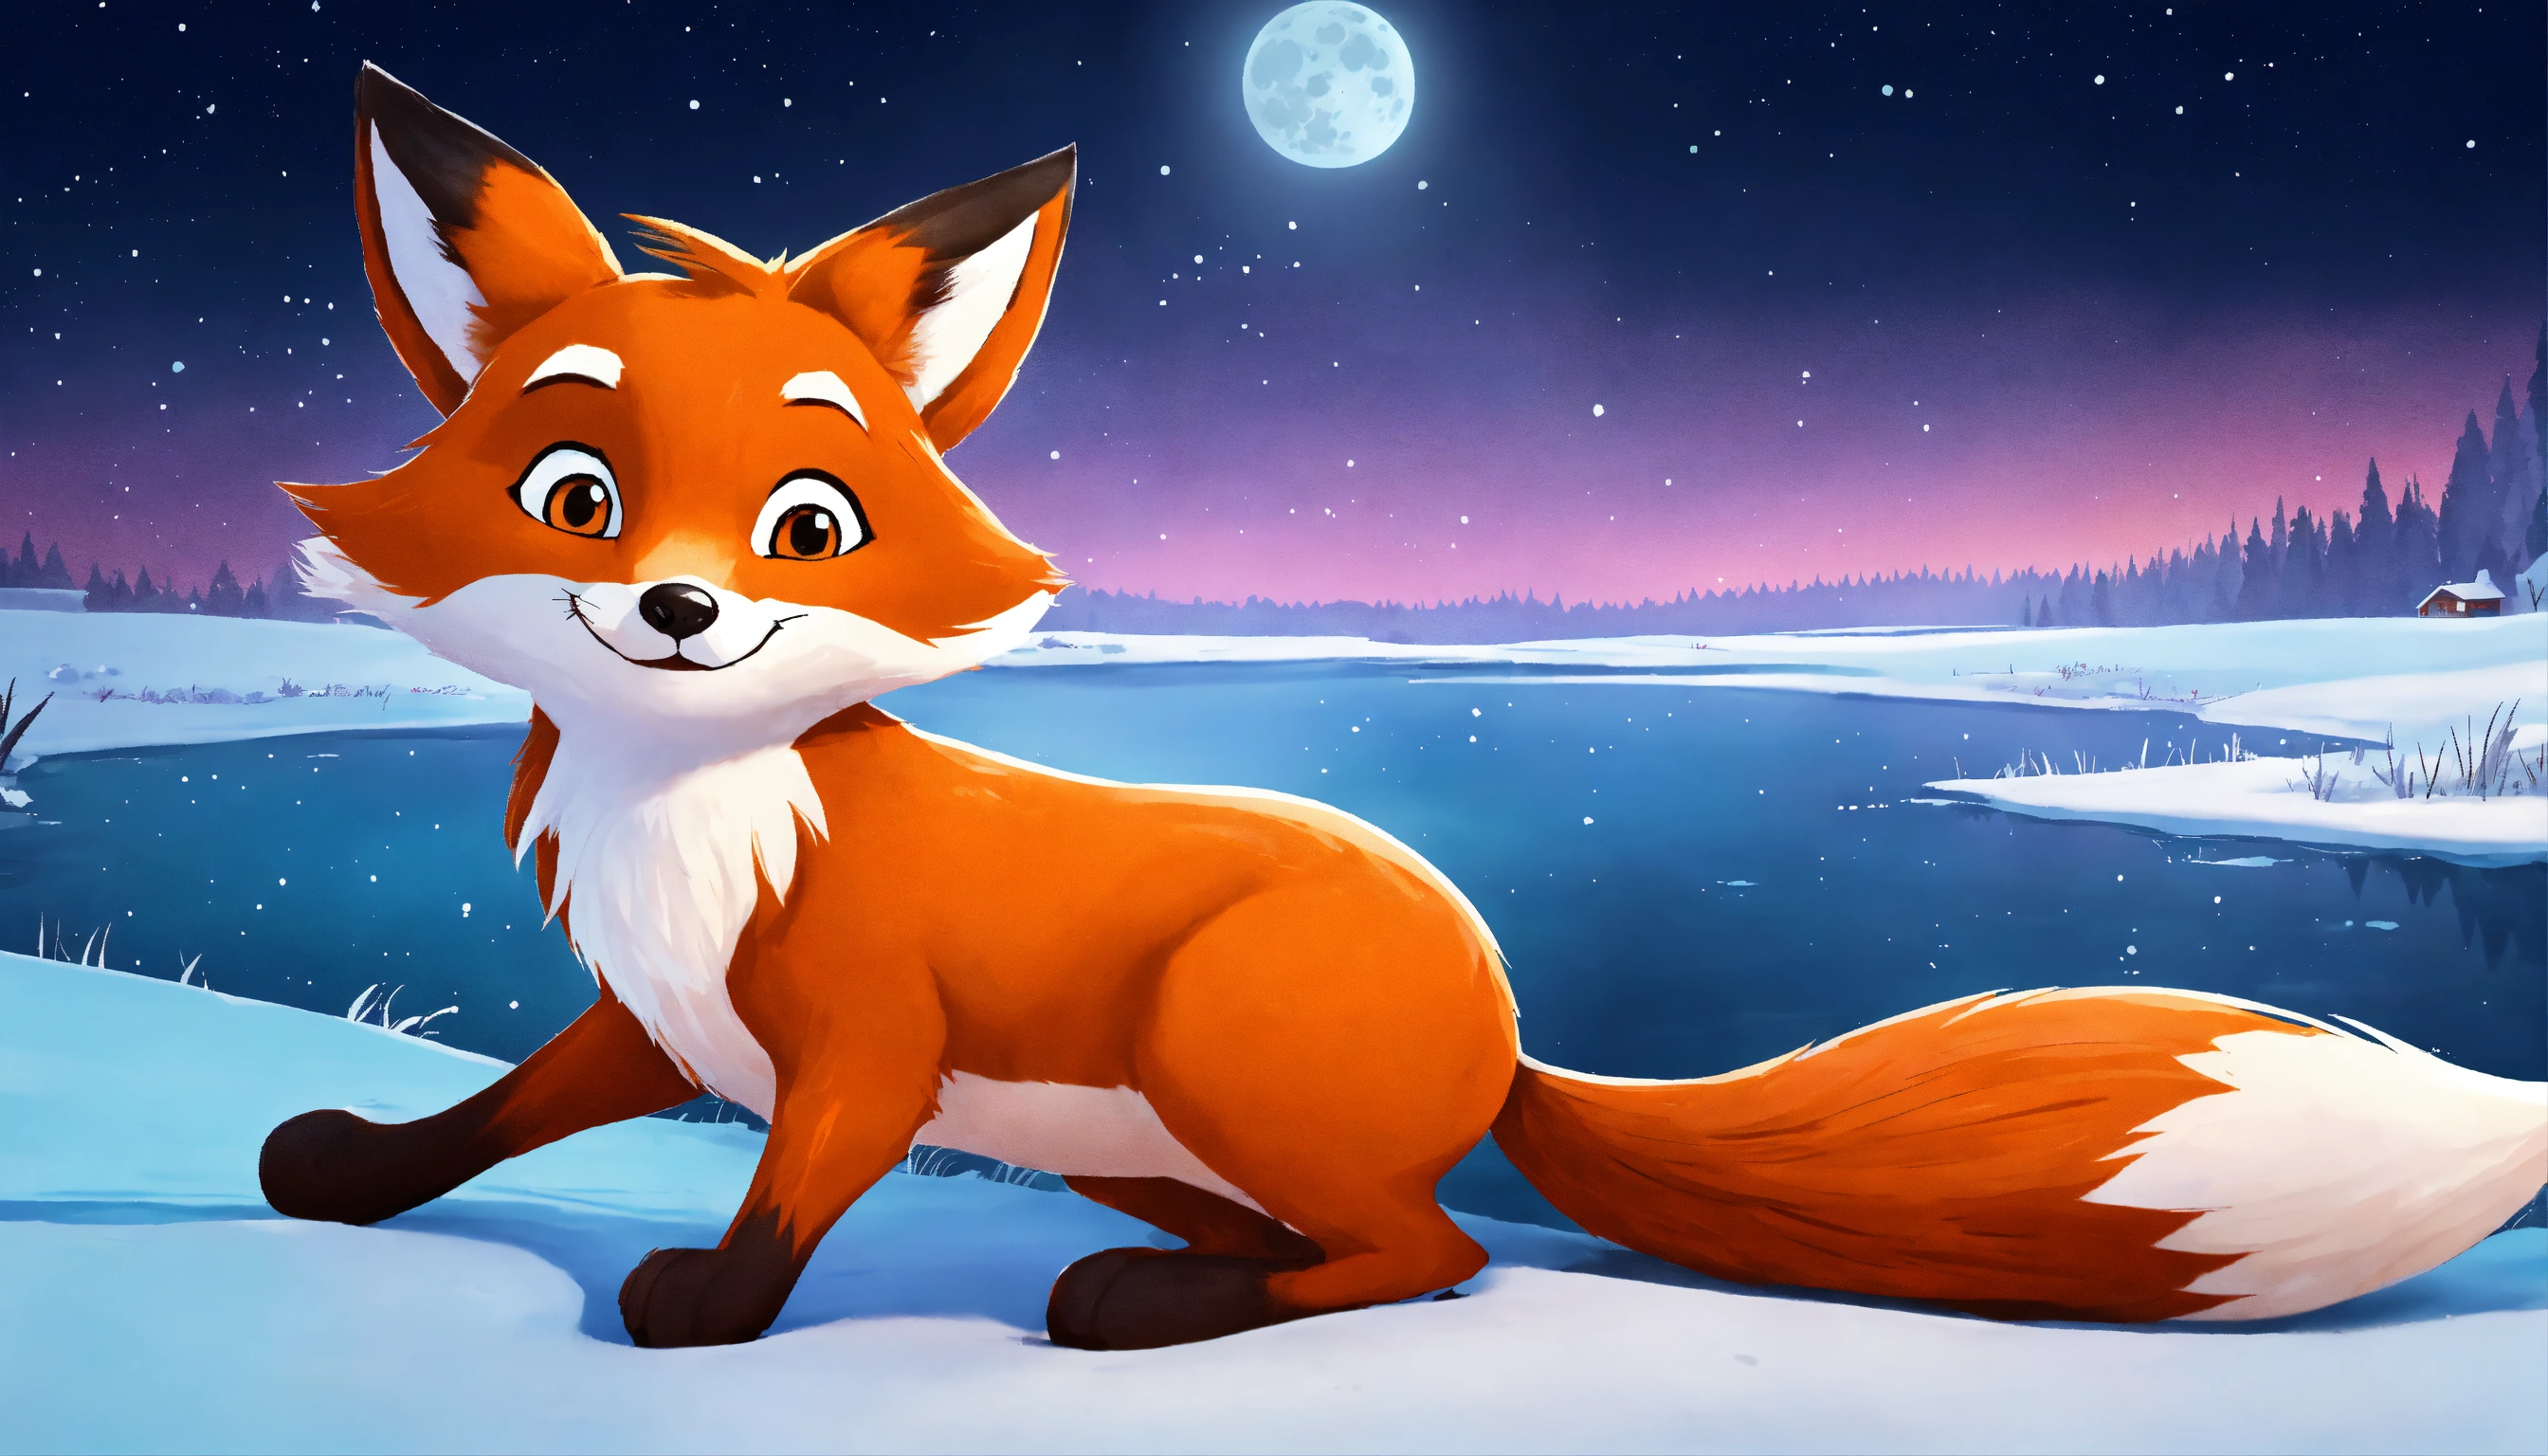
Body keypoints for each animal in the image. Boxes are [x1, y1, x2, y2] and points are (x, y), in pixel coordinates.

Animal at [260, 65, 2547, 1351]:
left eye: (813, 522)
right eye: (573, 492)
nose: (674, 608)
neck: (702, 814)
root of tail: (1507, 1023)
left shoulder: (866, 1045)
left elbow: (788, 1195)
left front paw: (711, 1310)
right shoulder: (667, 1020)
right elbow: (499, 1110)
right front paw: (342, 1170)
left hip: (1214, 1043)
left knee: (1432, 1254)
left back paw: (1150, 1314)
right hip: (1142, 1132)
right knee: (1377, 1238)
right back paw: (1187, 1282)